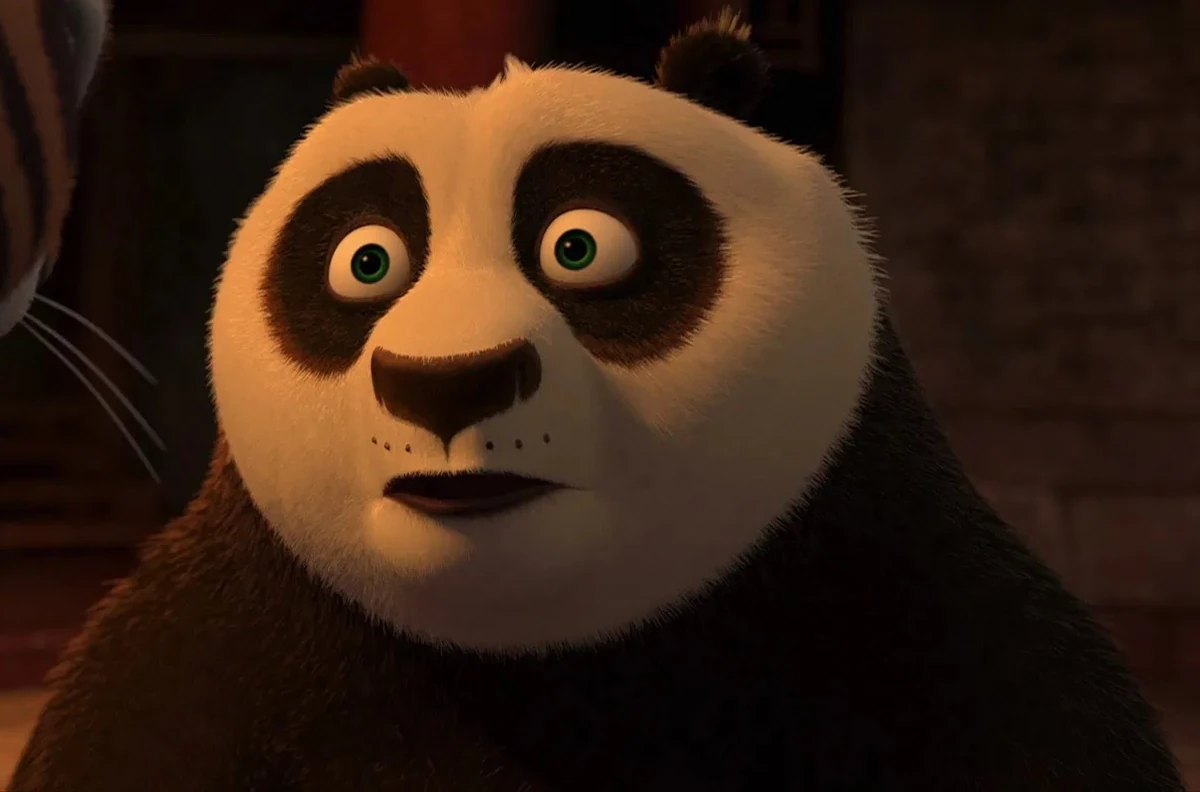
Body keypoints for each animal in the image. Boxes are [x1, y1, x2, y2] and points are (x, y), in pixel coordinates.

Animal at [11, 12, 1186, 791]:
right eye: (366, 262)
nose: (450, 380)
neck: (526, 651)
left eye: (581, 247)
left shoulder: (918, 610)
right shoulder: (207, 657)